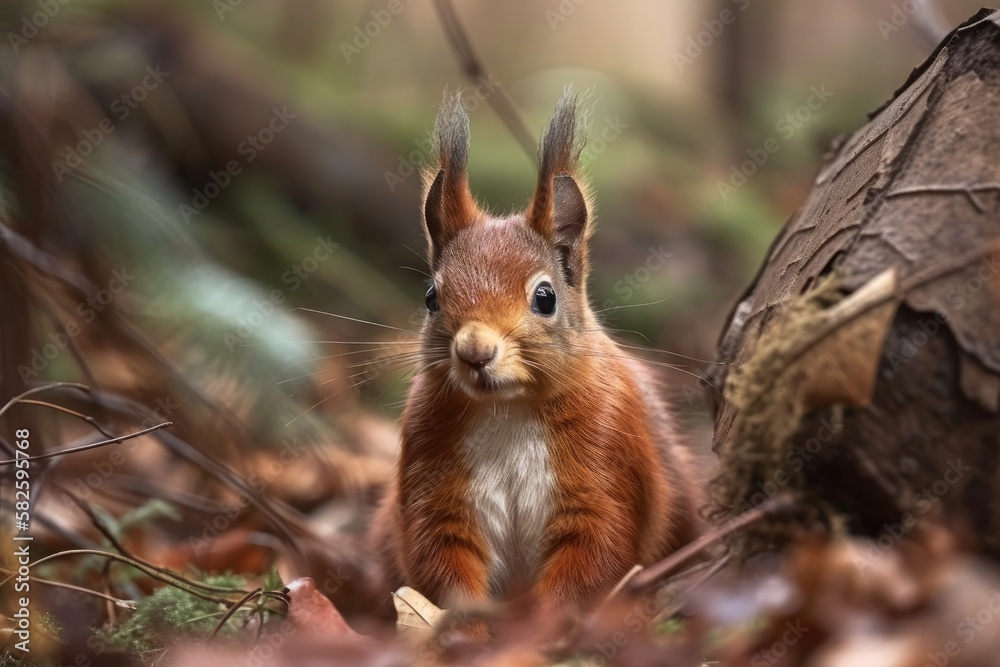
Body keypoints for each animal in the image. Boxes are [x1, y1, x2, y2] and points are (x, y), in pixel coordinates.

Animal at [370, 89, 705, 619]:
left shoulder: (607, 456)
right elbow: (441, 558)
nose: (475, 351)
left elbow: (594, 553)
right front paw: (467, 628)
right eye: (430, 296)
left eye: (545, 298)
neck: (509, 409)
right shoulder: (433, 473)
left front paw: (543, 628)